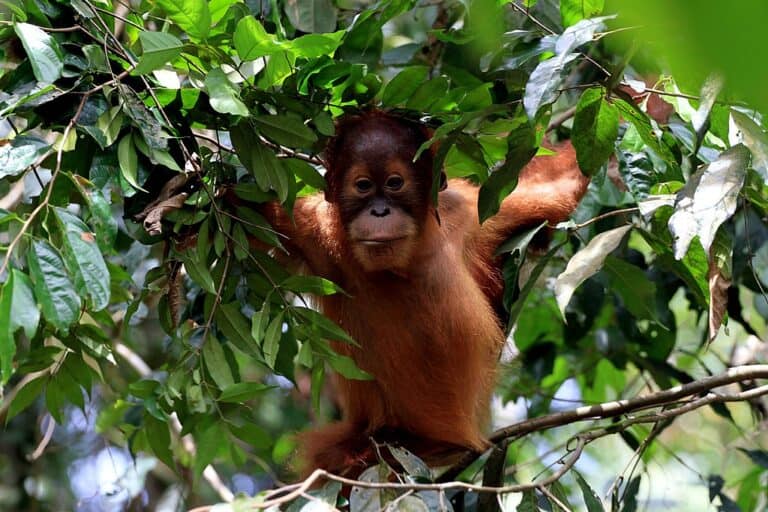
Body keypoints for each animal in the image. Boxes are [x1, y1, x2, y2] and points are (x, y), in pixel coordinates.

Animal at [261, 110, 589, 476]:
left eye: (395, 183)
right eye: (363, 186)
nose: (379, 211)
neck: (408, 260)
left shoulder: (474, 211)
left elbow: (557, 187)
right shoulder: (311, 227)